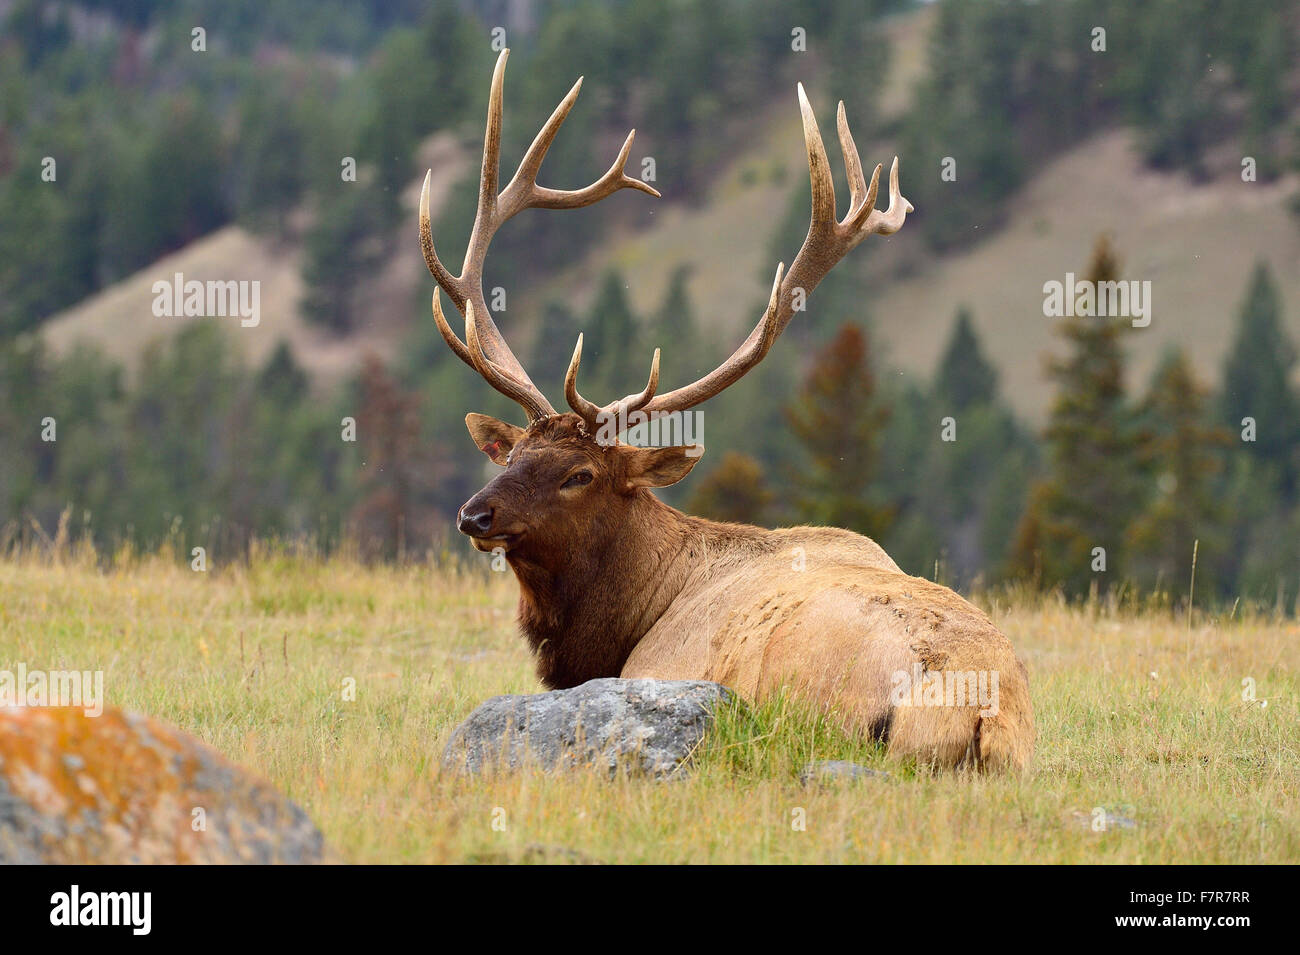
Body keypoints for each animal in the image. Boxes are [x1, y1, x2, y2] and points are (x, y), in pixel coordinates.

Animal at [419, 50, 1034, 772]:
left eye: (581, 475)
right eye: (512, 454)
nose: (474, 514)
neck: (616, 629)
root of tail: (979, 708)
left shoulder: (654, 668)